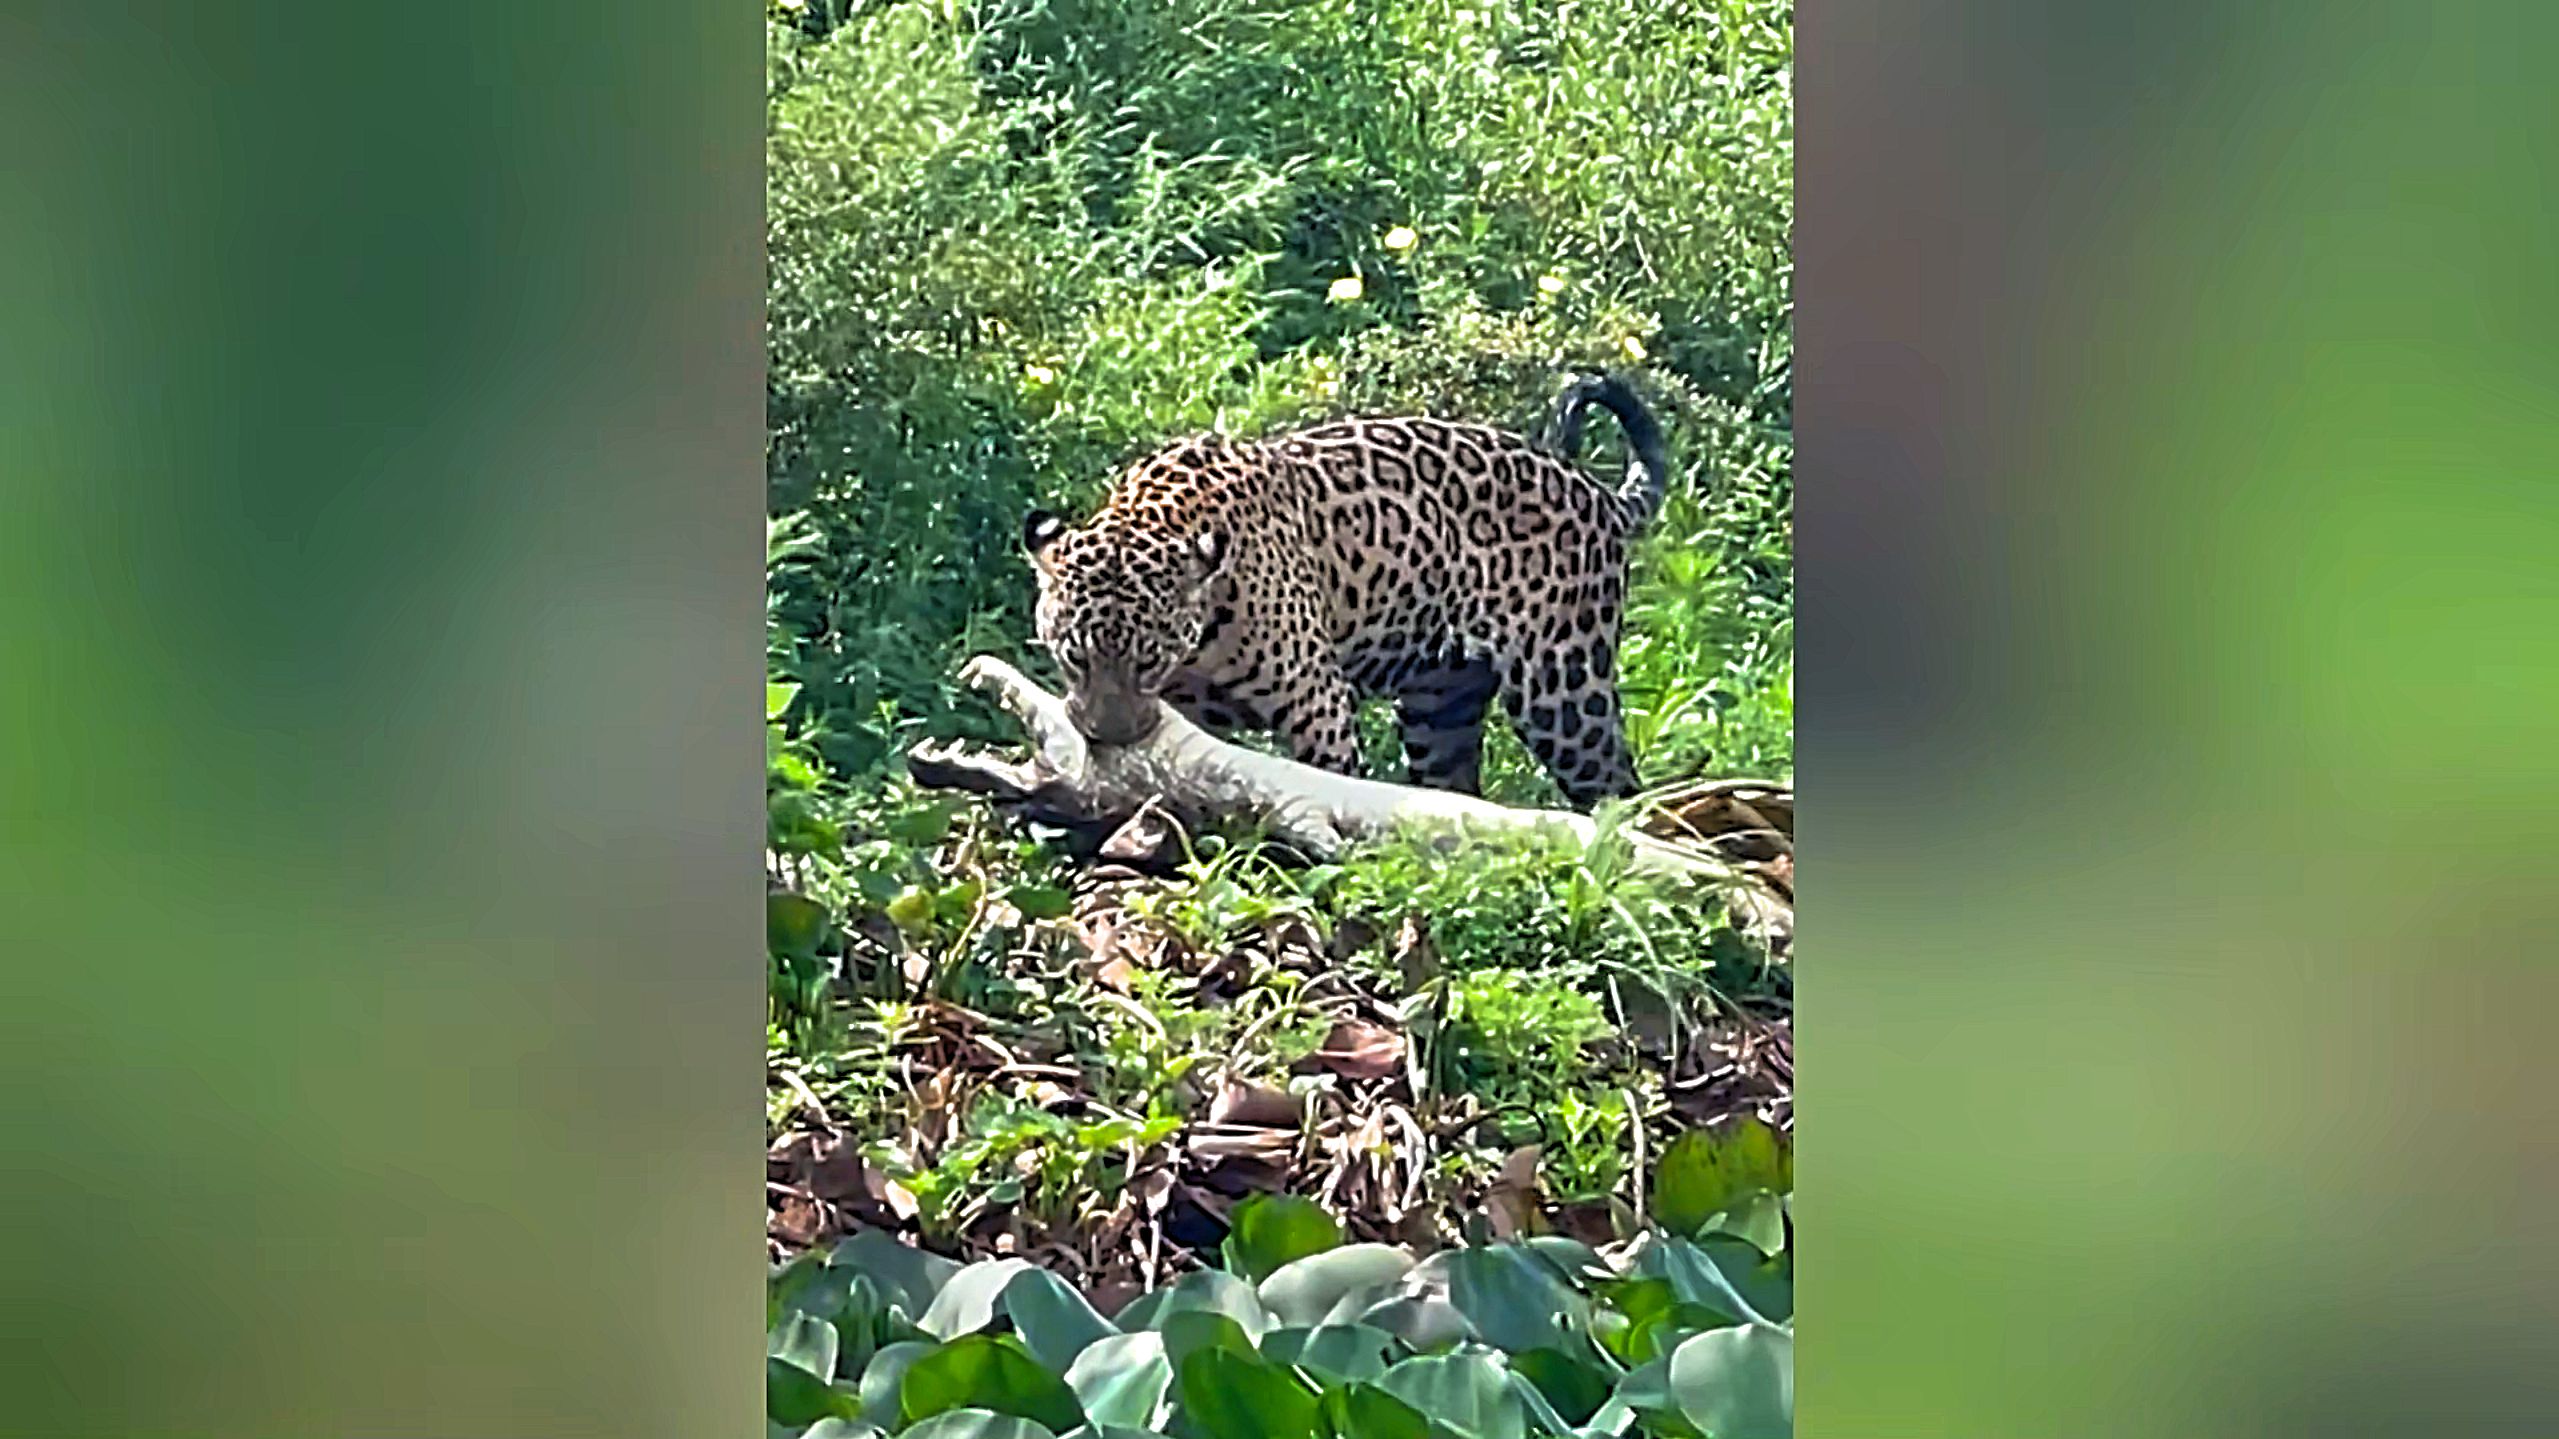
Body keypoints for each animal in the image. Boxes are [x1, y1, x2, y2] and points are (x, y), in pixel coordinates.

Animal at [1021, 374, 1670, 809]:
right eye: (1074, 657)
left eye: (1148, 660)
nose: (1110, 734)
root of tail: (1595, 490)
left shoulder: (1319, 703)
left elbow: (1328, 784)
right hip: (1440, 707)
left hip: (1563, 695)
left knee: (1618, 790)